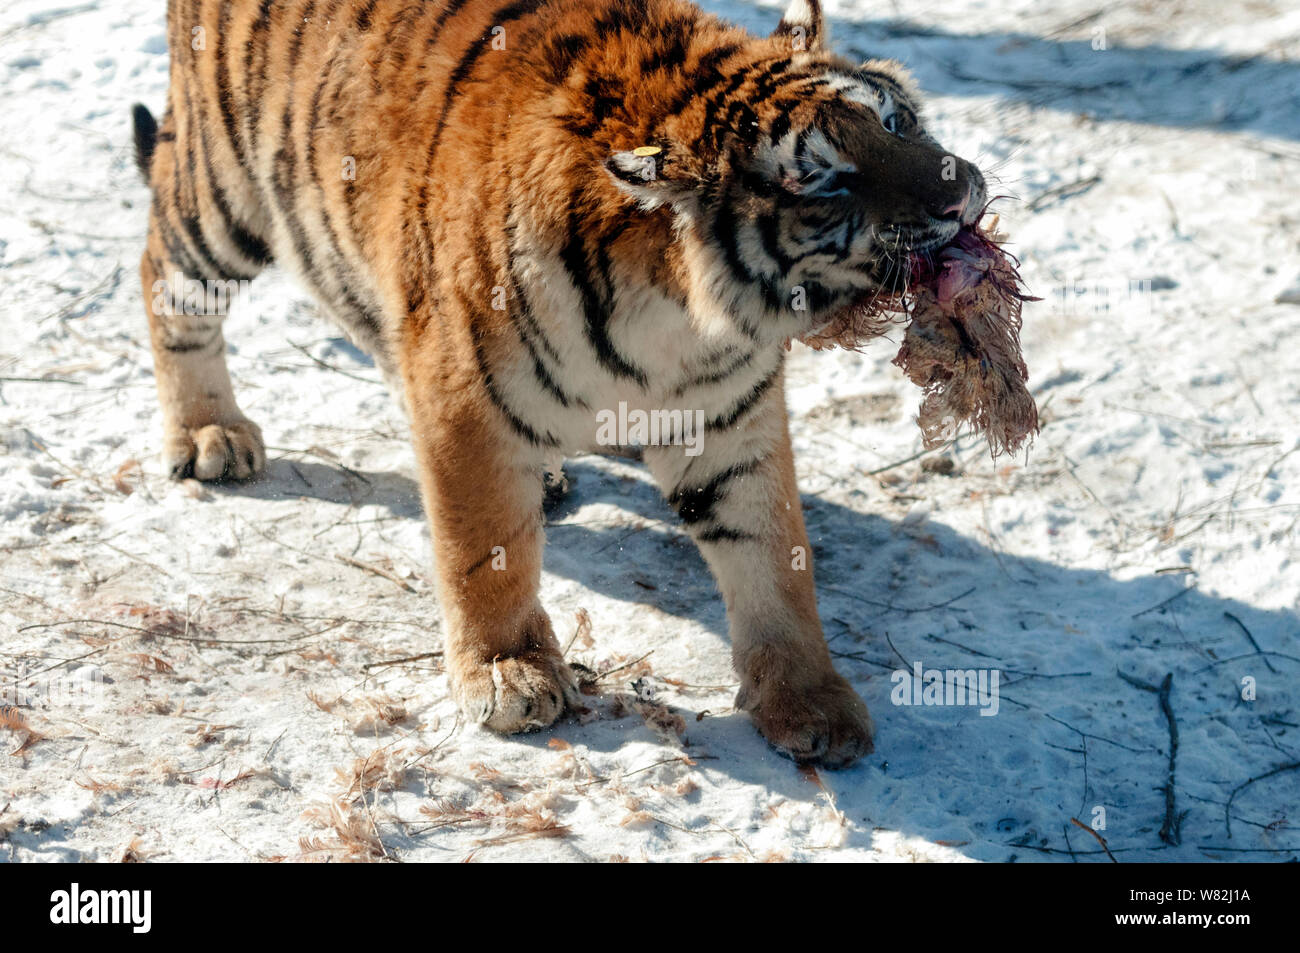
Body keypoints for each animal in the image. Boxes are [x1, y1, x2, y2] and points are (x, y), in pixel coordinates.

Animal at [133, 0, 986, 768]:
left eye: (898, 124)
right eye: (827, 184)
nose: (963, 191)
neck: (683, 319)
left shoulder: (727, 420)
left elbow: (775, 558)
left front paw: (810, 701)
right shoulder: (464, 400)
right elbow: (484, 550)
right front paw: (509, 675)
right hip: (220, 191)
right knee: (164, 274)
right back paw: (208, 433)